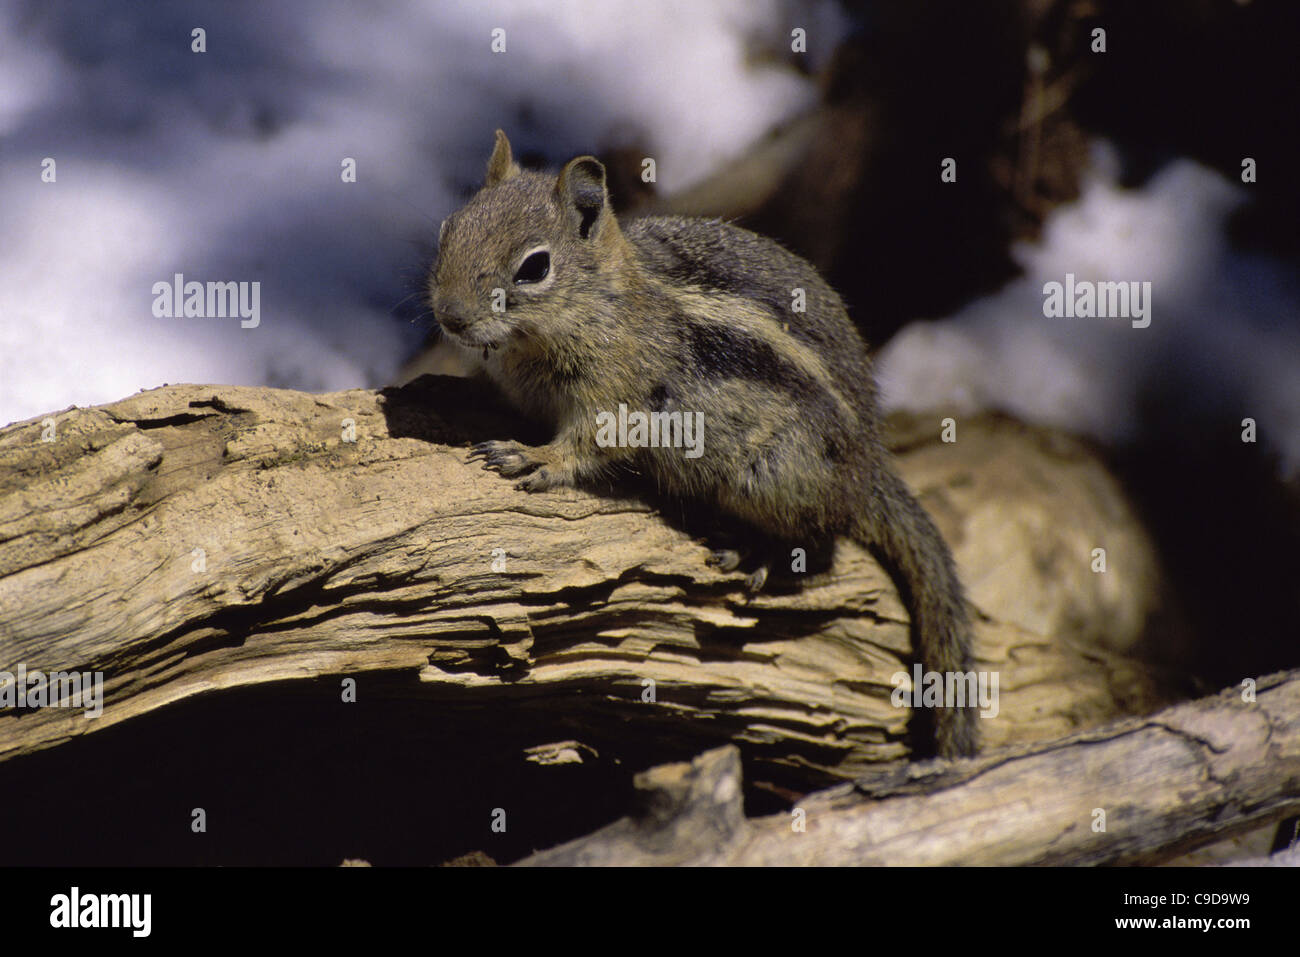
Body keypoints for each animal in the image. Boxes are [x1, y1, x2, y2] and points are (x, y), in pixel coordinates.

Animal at [427, 130, 977, 759]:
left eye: (534, 267)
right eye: (448, 229)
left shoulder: (617, 398)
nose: (450, 317)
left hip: (773, 476)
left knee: (818, 539)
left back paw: (758, 551)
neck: (601, 303)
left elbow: (584, 444)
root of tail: (871, 464)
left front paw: (533, 457)